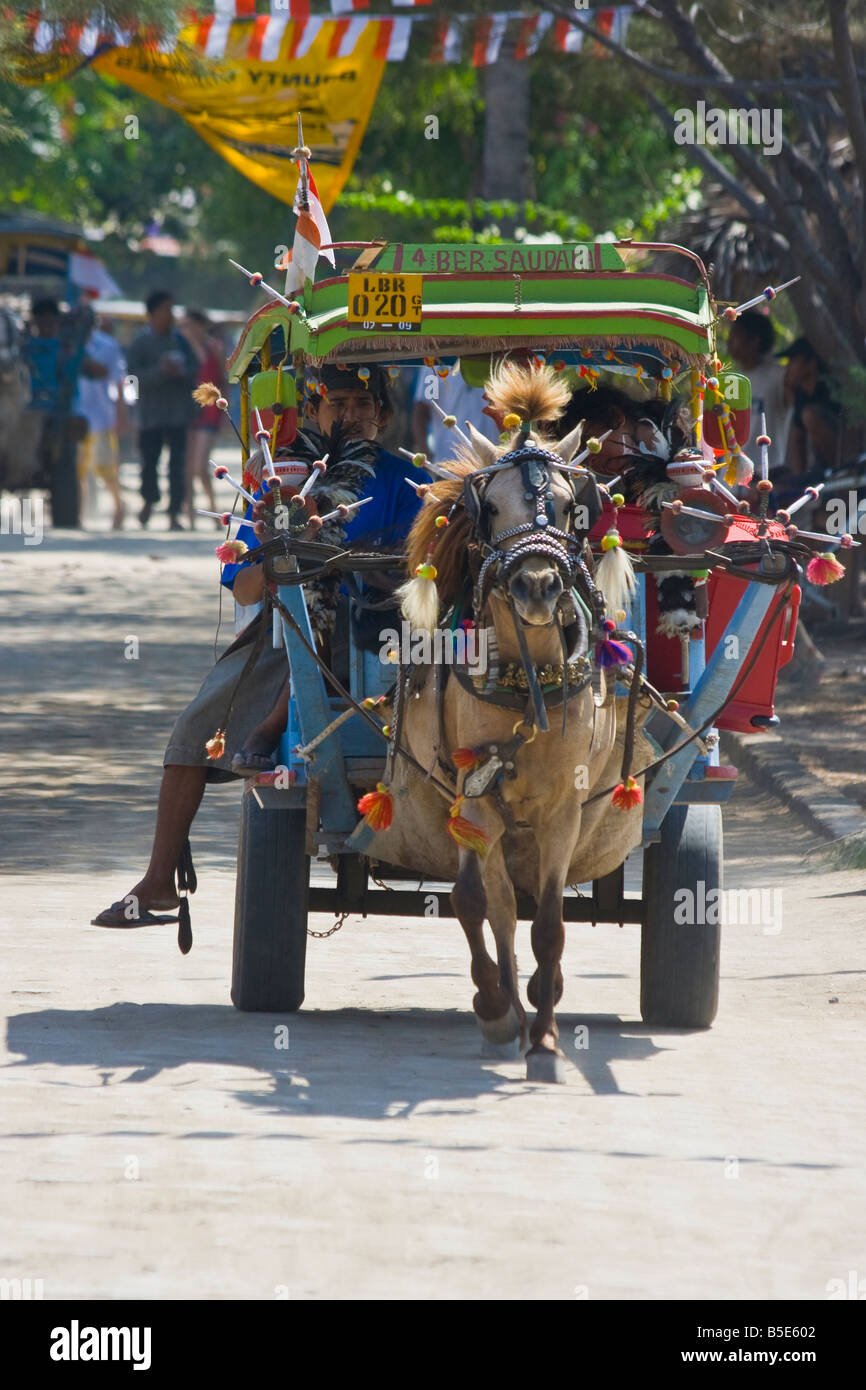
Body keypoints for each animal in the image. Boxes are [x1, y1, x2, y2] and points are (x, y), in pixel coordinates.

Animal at [362, 363, 653, 1083]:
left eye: (574, 508)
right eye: (489, 509)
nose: (538, 587)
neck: (527, 683)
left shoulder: (564, 810)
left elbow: (548, 923)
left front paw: (545, 1038)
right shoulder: (472, 796)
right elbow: (473, 904)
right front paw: (495, 1008)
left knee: (516, 908)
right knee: (495, 905)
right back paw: (506, 1000)